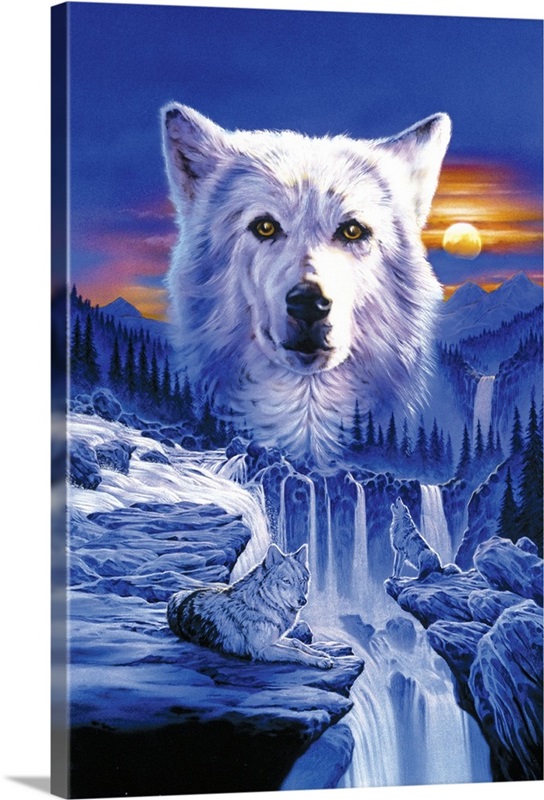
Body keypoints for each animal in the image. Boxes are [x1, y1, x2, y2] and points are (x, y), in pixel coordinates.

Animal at [167, 543, 333, 668]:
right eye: (286, 581)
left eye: (303, 580)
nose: (303, 601)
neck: (264, 605)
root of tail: (176, 596)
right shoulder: (261, 649)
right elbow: (294, 651)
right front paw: (320, 661)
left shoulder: (274, 639)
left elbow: (296, 642)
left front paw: (319, 653)